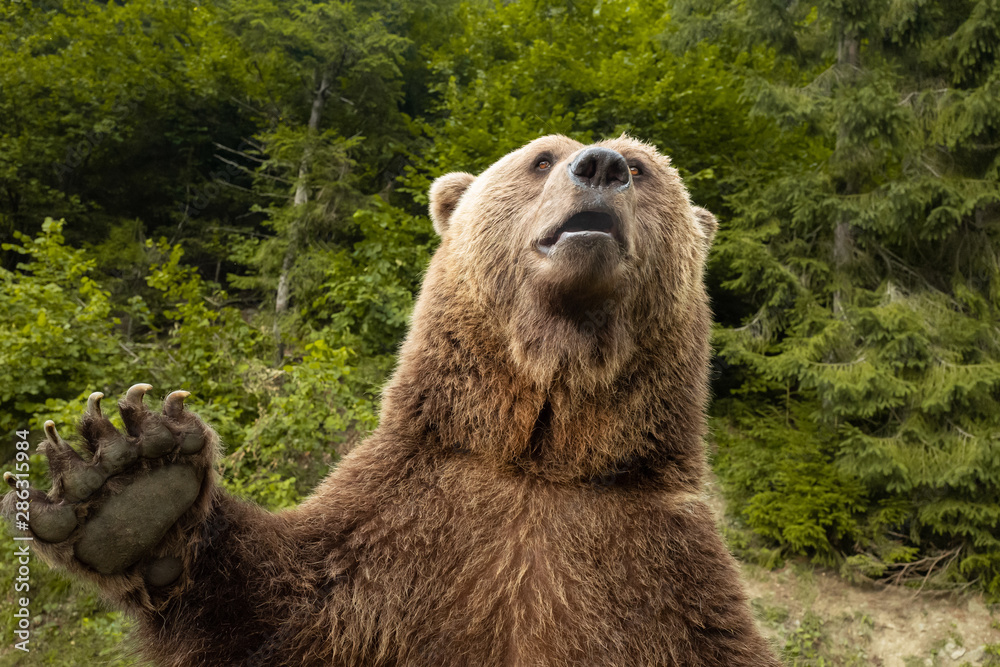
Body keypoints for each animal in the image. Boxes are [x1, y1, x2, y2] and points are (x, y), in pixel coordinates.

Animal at [3, 135, 780, 666]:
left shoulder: (664, 578)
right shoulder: (398, 538)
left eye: (643, 167)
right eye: (540, 158)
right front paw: (128, 481)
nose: (600, 166)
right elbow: (272, 611)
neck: (543, 456)